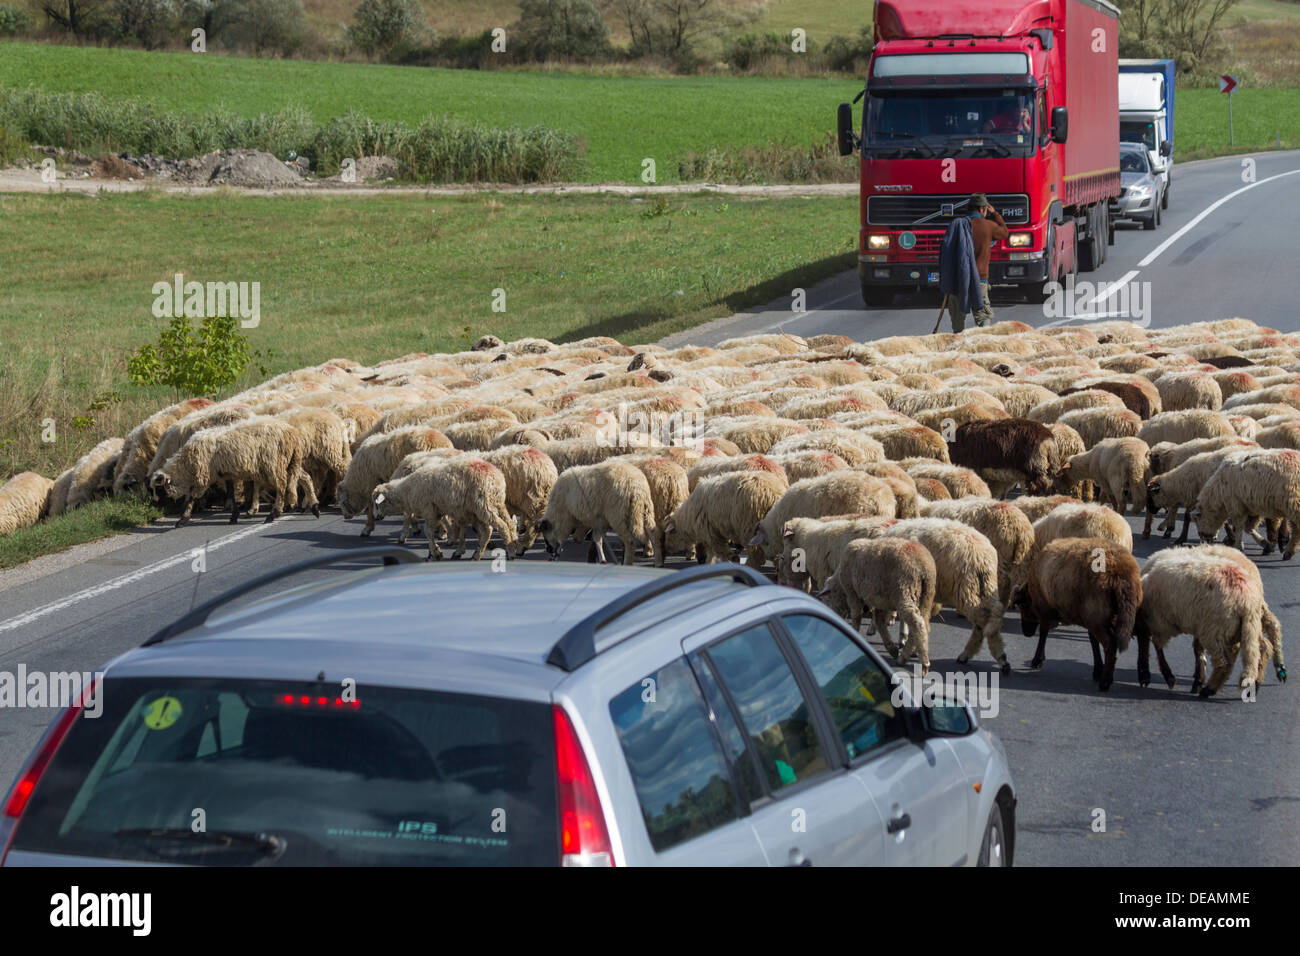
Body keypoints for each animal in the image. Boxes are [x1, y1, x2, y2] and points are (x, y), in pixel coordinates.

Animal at [155, 417, 316, 525]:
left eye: (161, 489)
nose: (159, 508)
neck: (185, 465)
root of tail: (292, 433)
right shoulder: (226, 474)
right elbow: (231, 494)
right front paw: (234, 516)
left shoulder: (205, 476)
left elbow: (192, 497)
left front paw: (182, 519)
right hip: (290, 462)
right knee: (305, 478)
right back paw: (314, 507)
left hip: (274, 464)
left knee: (282, 486)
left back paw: (273, 514)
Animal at [372, 458, 517, 561]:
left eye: (376, 504)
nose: (375, 517)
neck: (407, 491)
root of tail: (496, 476)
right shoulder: (444, 511)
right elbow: (458, 530)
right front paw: (447, 549)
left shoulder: (429, 511)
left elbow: (428, 532)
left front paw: (436, 552)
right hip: (494, 504)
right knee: (504, 525)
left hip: (483, 506)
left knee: (501, 526)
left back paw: (510, 552)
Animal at [820, 538, 938, 671]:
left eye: (827, 600)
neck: (840, 586)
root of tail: (924, 566)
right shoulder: (881, 601)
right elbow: (879, 622)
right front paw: (892, 648)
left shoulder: (852, 593)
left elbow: (857, 616)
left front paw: (854, 632)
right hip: (926, 596)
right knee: (923, 623)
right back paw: (905, 656)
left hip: (905, 589)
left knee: (916, 623)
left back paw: (923, 663)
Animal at [1009, 538, 1142, 690]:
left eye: (1023, 606)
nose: (1026, 633)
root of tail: (1121, 573)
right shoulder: (1089, 617)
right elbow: (1092, 641)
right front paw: (1097, 669)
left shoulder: (1045, 609)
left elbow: (1043, 634)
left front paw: (1037, 660)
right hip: (1111, 616)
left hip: (1098, 615)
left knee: (1110, 645)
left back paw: (1105, 682)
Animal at [1135, 547, 1284, 697]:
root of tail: (1246, 600)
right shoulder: (1197, 623)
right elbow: (1196, 648)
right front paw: (1197, 678)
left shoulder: (1160, 622)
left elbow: (1156, 645)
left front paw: (1170, 677)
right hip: (1244, 625)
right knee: (1263, 642)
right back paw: (1261, 680)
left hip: (1215, 630)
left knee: (1225, 663)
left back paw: (1209, 689)